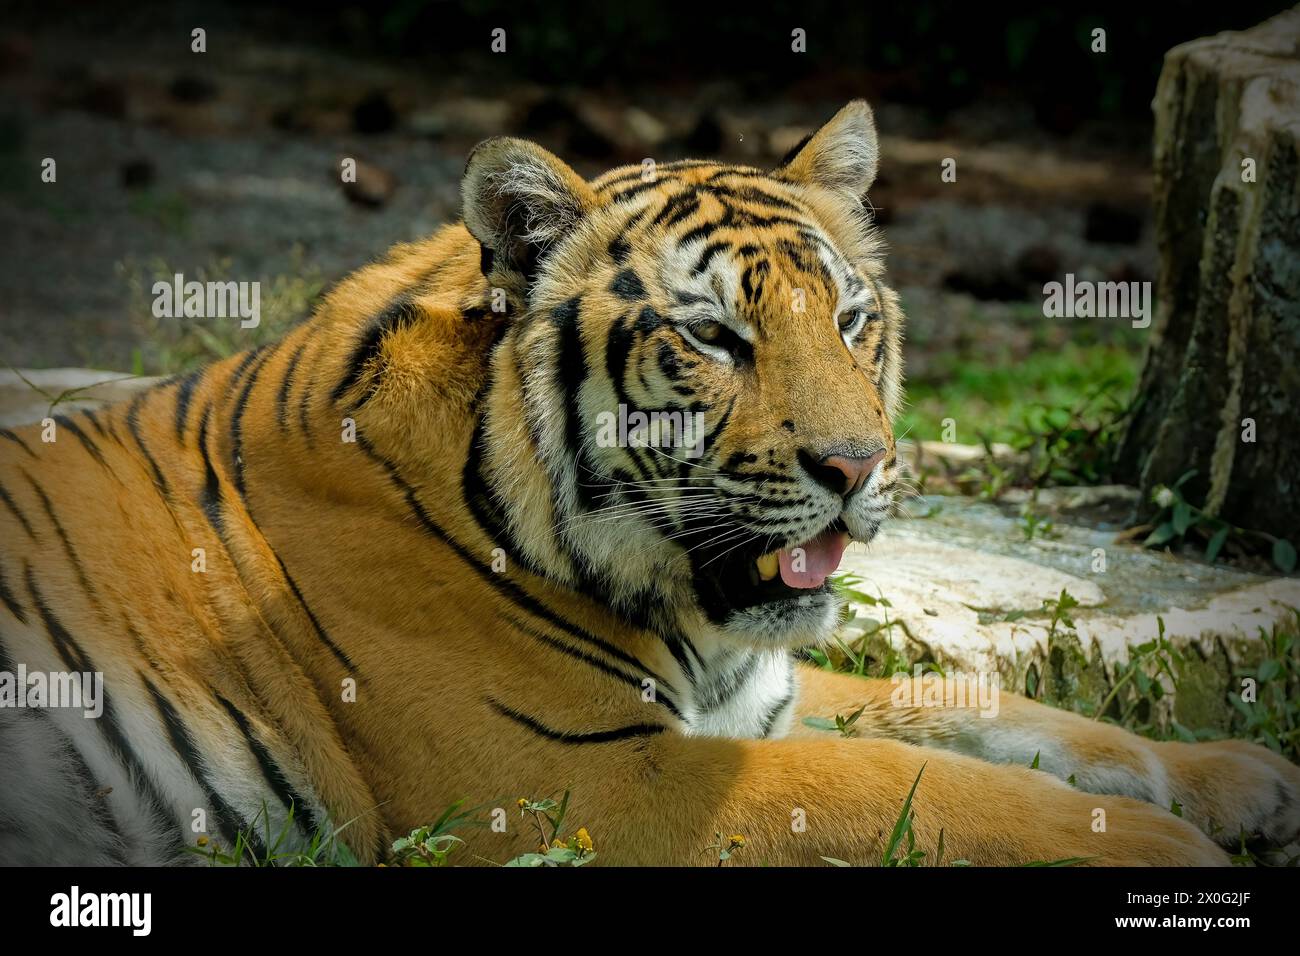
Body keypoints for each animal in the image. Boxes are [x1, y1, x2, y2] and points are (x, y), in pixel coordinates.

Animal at [1, 100, 1297, 867]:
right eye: (715, 337)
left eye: (850, 320)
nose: (859, 465)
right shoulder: (588, 778)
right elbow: (907, 778)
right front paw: (1160, 848)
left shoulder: (752, 695)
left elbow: (967, 709)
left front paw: (1237, 780)